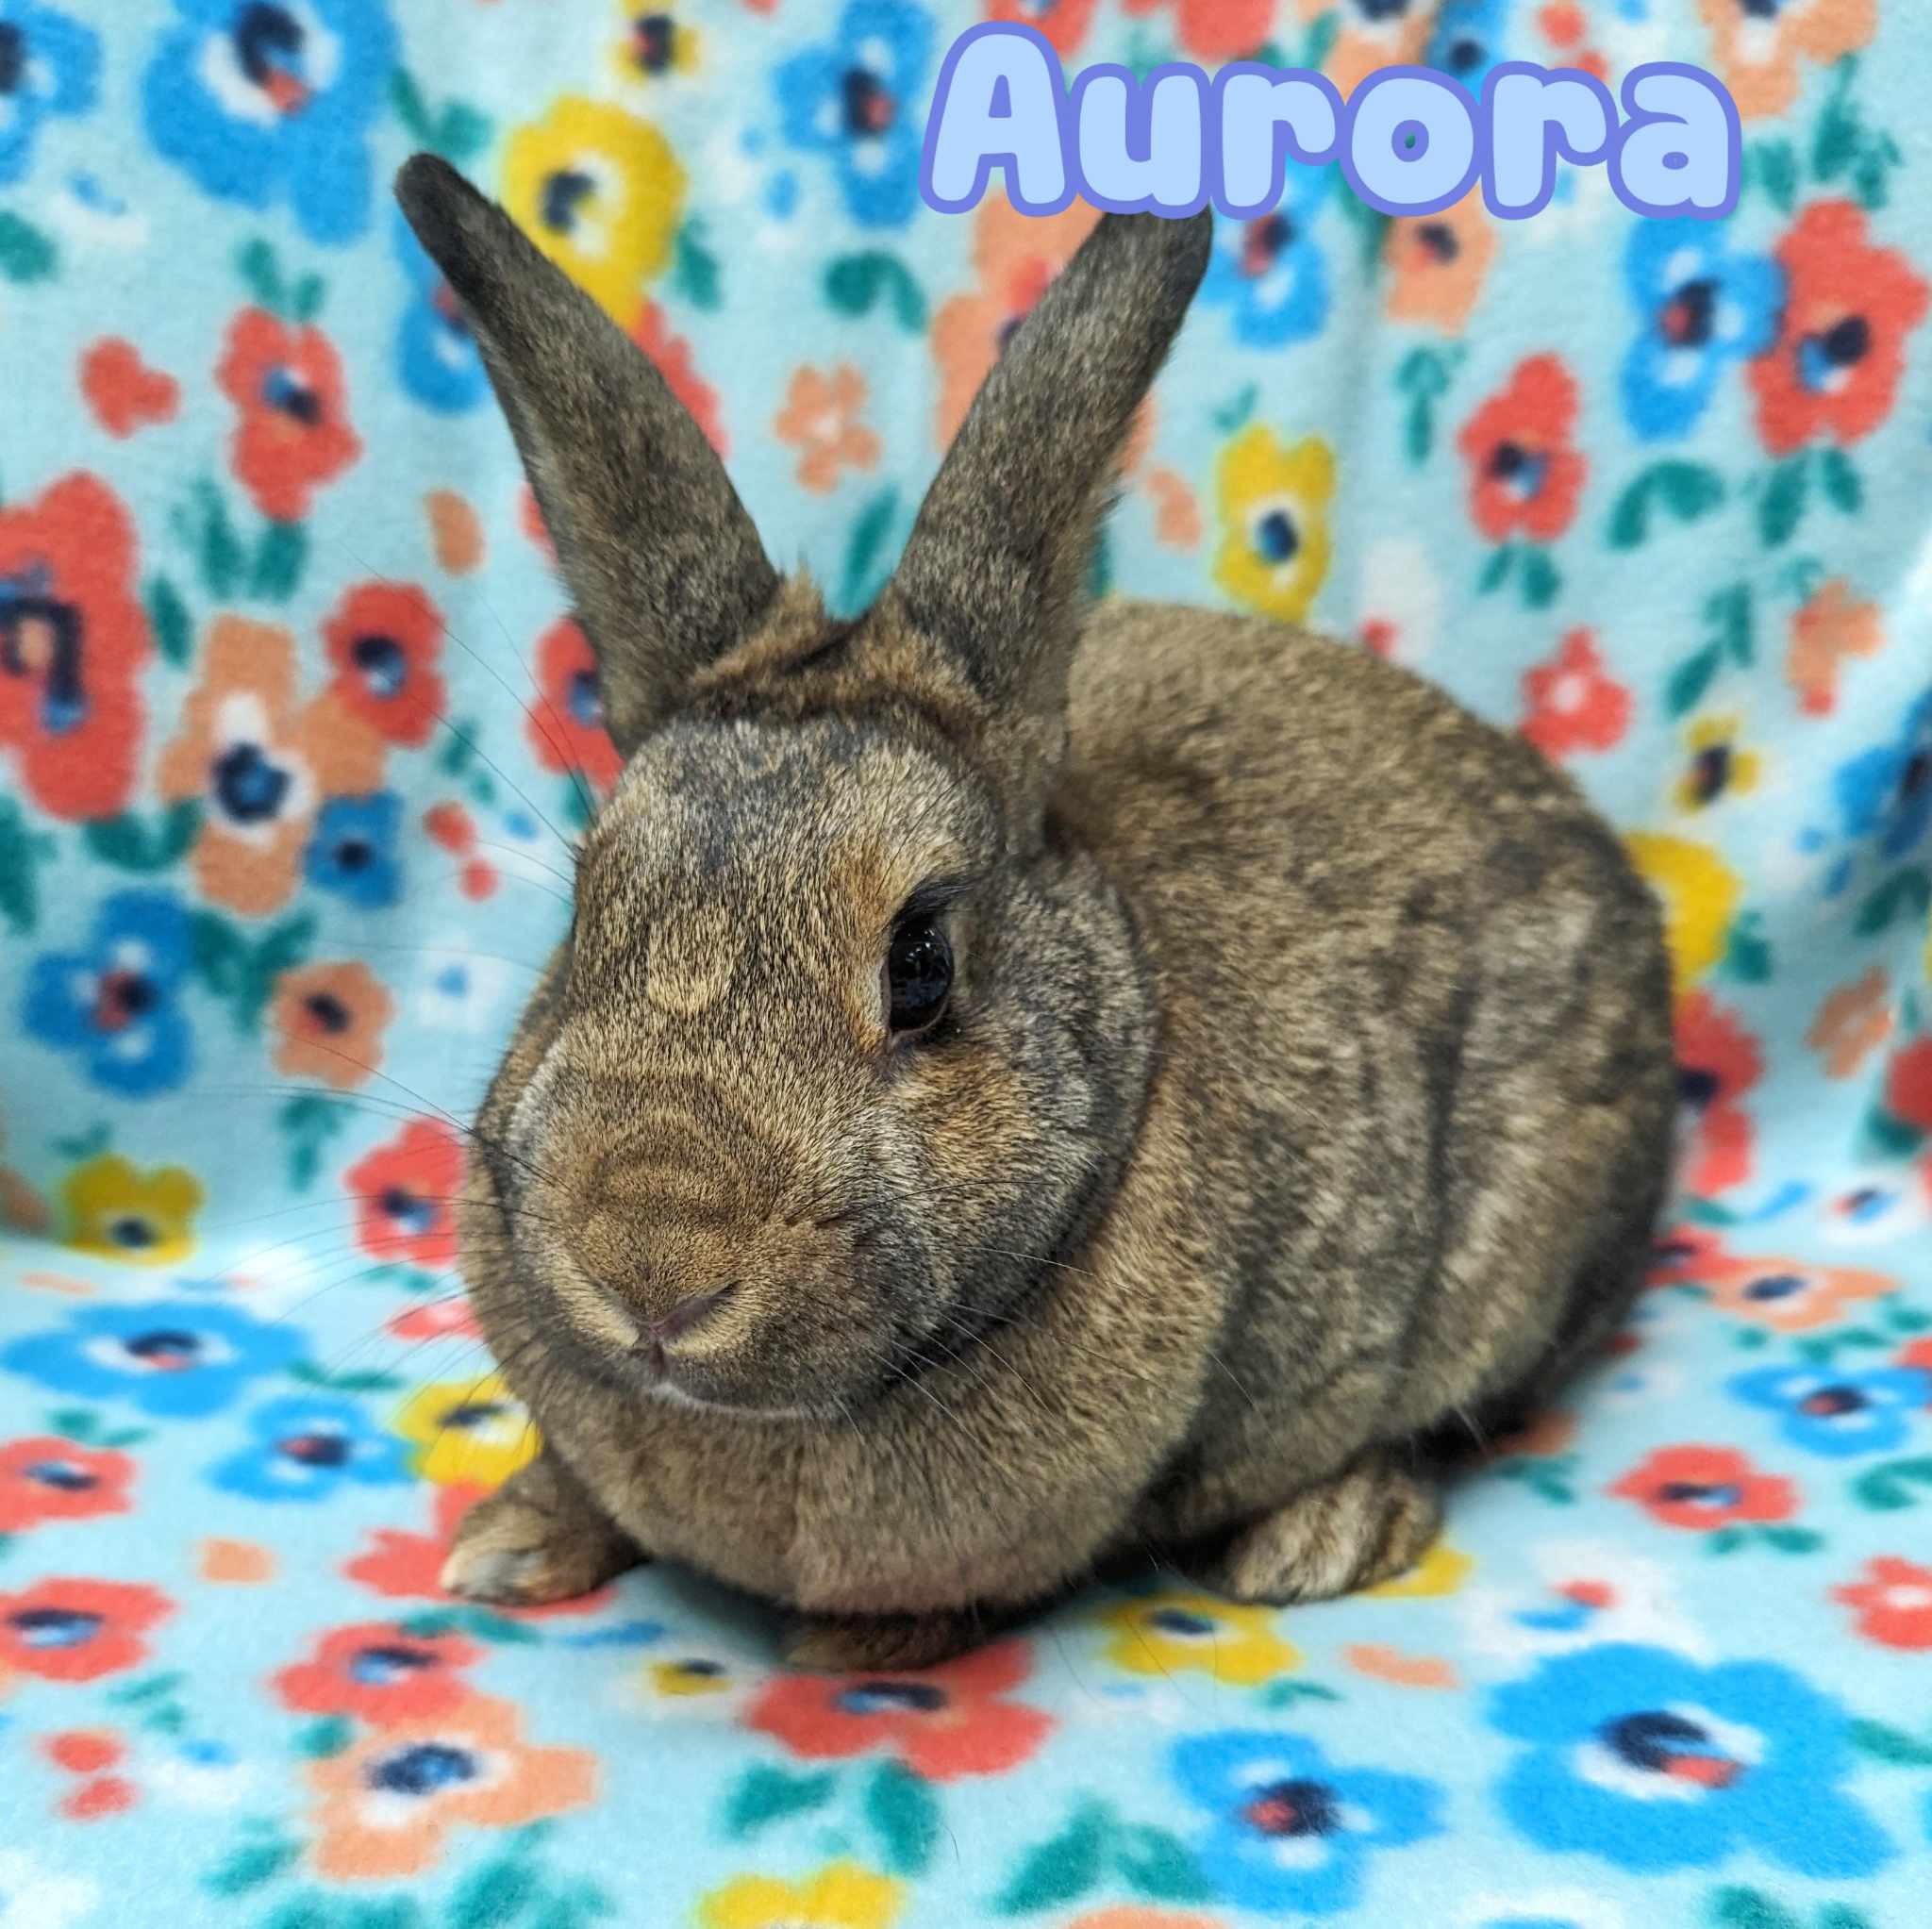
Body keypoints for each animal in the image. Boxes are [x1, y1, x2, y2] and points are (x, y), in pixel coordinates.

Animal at [396, 152, 1676, 1673]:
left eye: (922, 963)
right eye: (591, 910)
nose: (654, 1268)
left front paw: (854, 1649)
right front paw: (509, 1541)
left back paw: (1319, 1534)